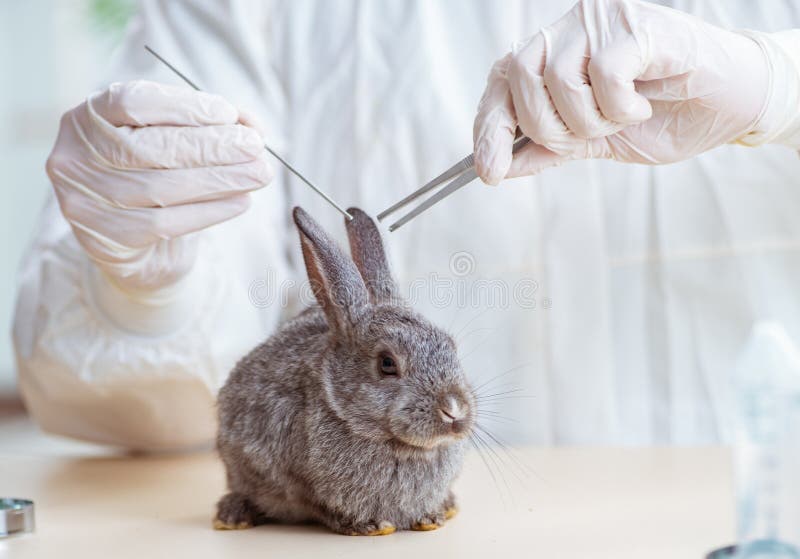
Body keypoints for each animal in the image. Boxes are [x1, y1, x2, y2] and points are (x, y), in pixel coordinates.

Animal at [214, 206, 475, 536]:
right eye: (387, 363)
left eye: (450, 345)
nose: (454, 410)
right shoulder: (296, 480)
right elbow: (319, 504)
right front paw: (370, 526)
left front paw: (431, 517)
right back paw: (232, 517)